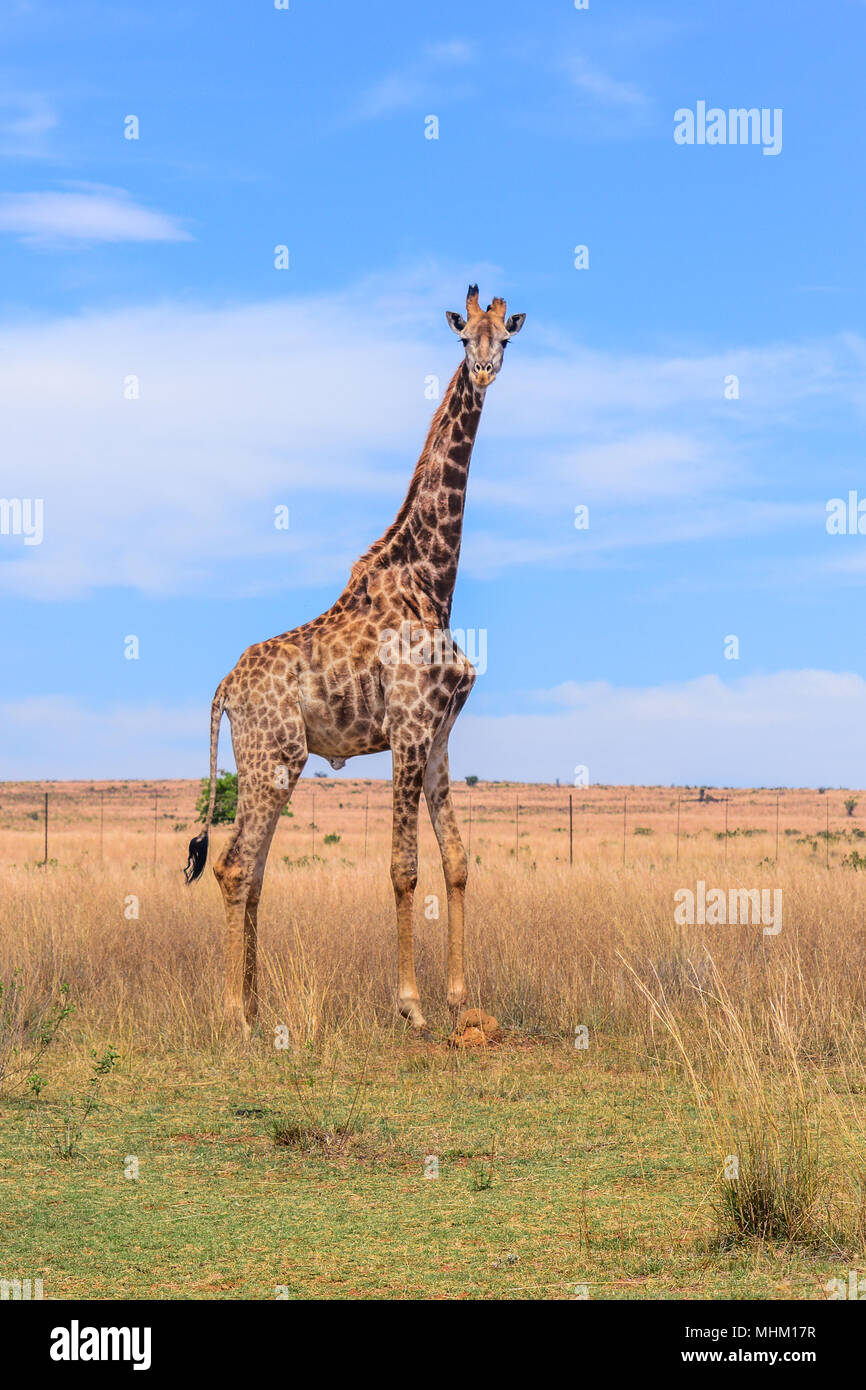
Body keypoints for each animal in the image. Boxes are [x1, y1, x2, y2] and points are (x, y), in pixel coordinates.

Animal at [184, 285, 525, 1036]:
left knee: (253, 872)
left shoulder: (440, 737)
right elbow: (405, 868)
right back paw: (236, 1018)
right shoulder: (408, 730)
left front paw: (461, 1002)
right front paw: (411, 1006)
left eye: (506, 337)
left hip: (276, 762)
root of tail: (222, 688)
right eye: (465, 337)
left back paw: (258, 1007)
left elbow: (458, 862)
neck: (434, 579)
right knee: (233, 866)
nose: (485, 370)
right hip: (272, 756)